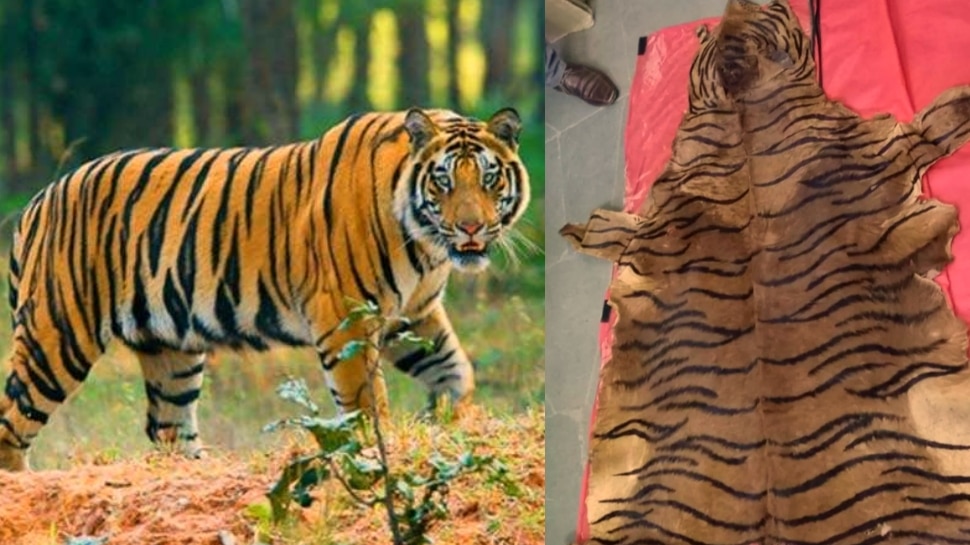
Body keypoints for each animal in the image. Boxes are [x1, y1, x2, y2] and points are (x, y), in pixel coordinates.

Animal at [0, 107, 529, 471]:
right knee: (12, 421)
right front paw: (378, 455)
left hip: (169, 348)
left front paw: (444, 421)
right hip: (58, 338)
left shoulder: (412, 316)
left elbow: (455, 372)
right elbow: (366, 404)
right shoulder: (346, 317)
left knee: (167, 427)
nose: (471, 229)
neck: (424, 244)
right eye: (443, 181)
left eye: (489, 178)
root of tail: (37, 203)